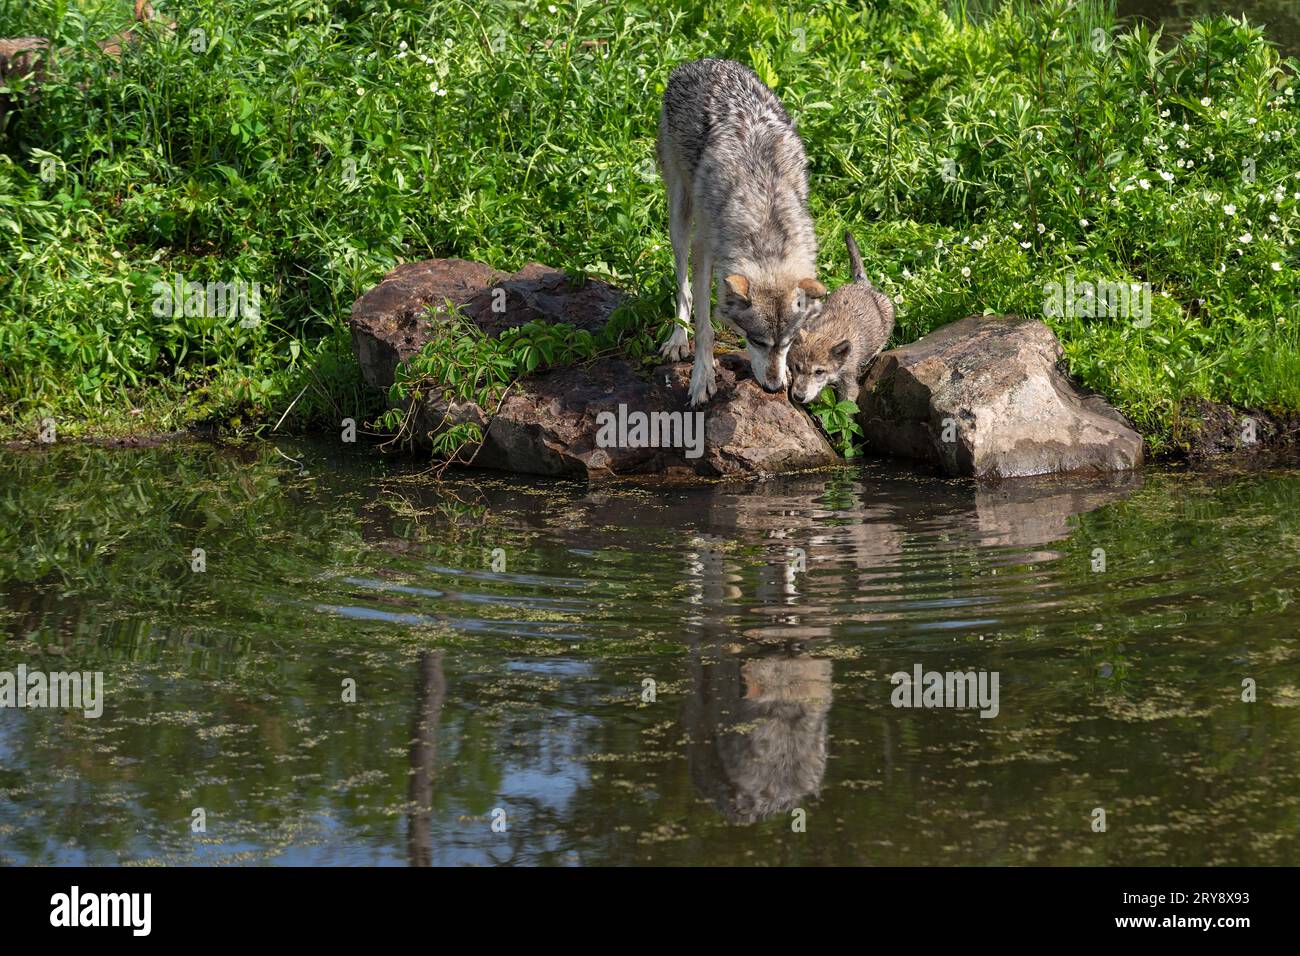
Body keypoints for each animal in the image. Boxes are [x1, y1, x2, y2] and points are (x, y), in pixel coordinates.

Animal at [657, 58, 826, 407]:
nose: (774, 388)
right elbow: (705, 327)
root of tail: (701, 61)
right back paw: (678, 339)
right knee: (683, 289)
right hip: (679, 218)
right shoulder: (705, 250)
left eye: (787, 342)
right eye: (756, 341)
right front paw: (702, 379)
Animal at [787, 230, 895, 405]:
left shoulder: (850, 384)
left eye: (819, 372)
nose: (798, 397)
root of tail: (862, 284)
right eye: (797, 367)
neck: (830, 333)